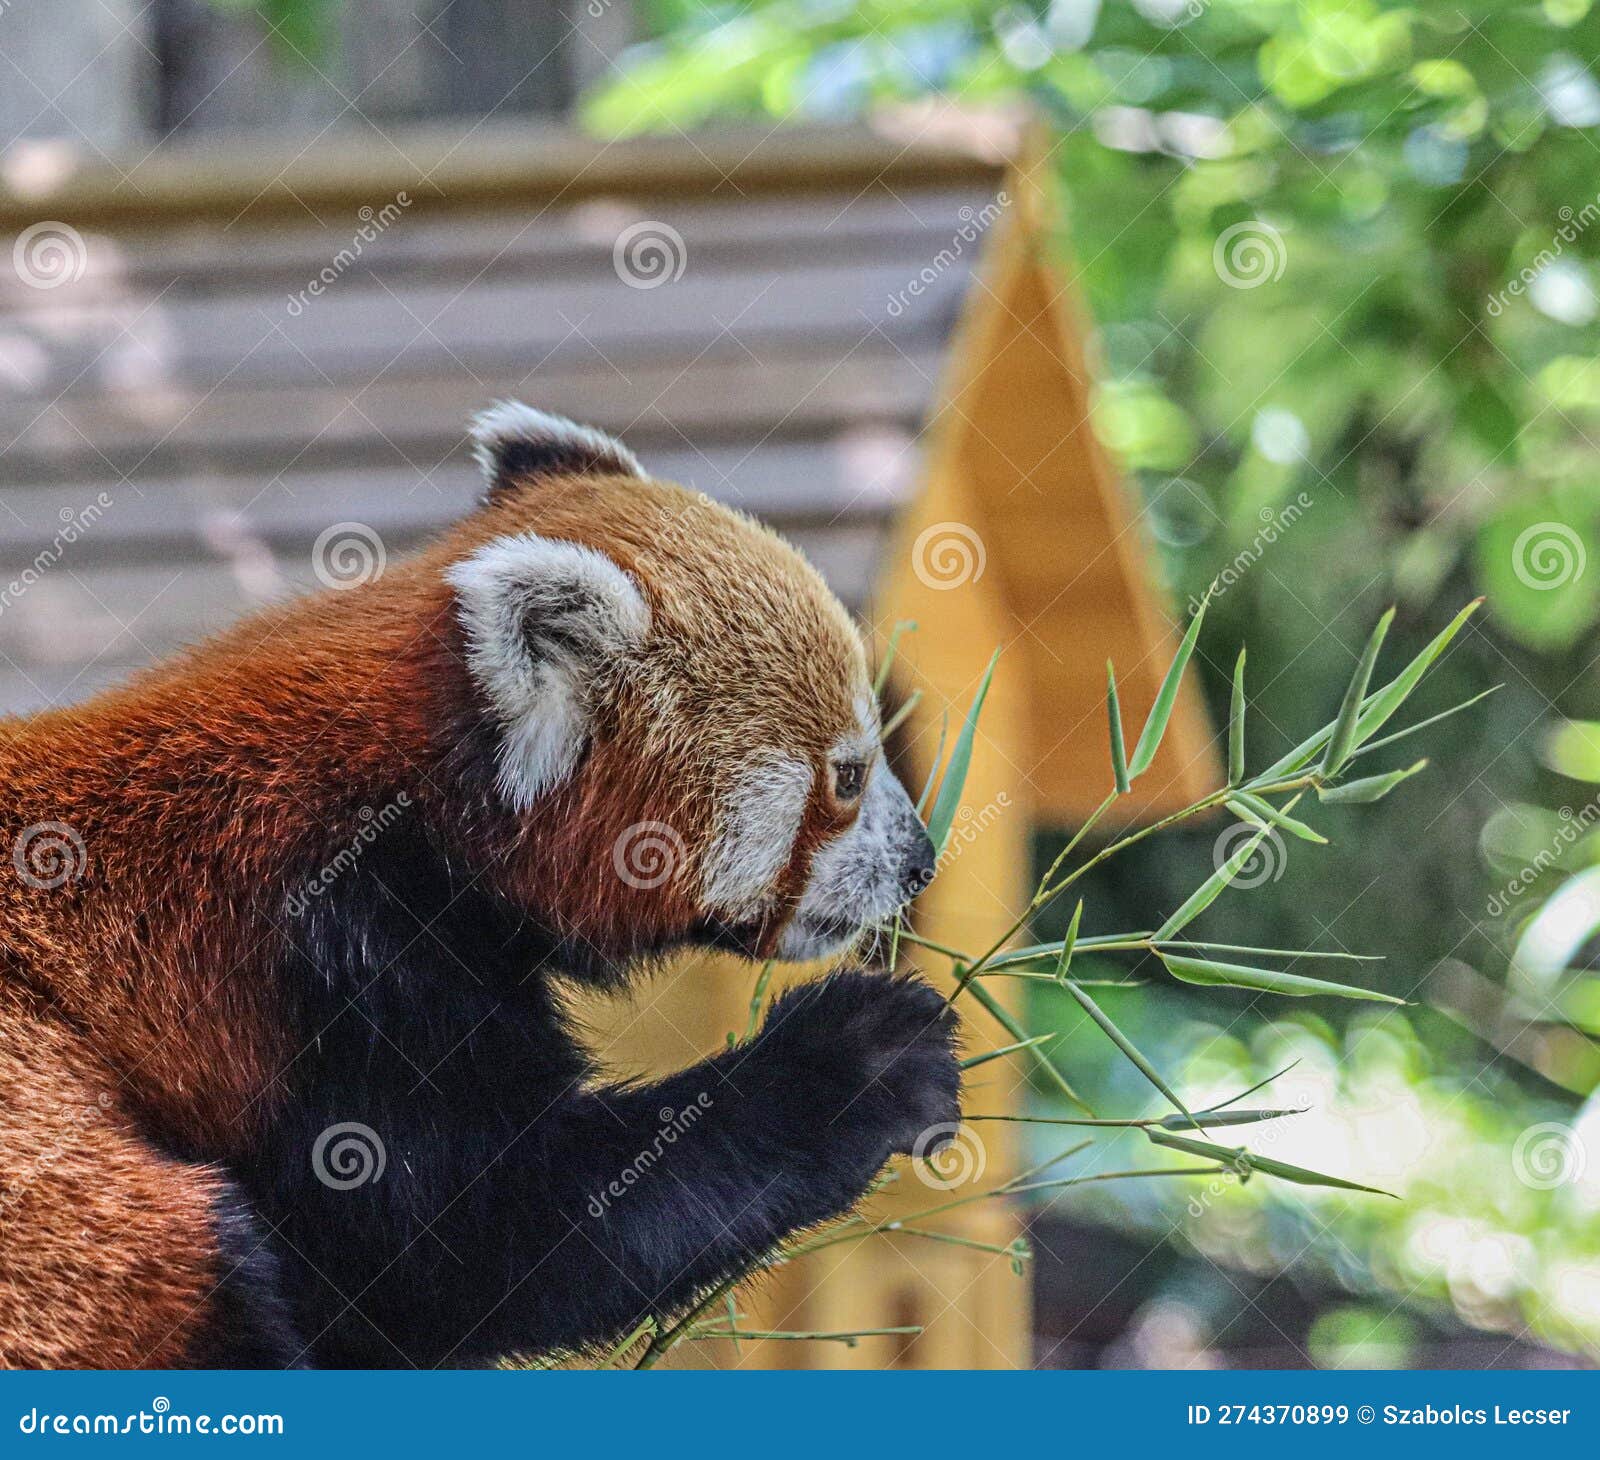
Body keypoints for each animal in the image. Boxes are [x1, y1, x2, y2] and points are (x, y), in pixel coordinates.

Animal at [0, 404, 957, 1369]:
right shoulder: (334, 963)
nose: (921, 860)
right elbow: (481, 1244)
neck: (411, 807)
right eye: (847, 776)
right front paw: (865, 1056)